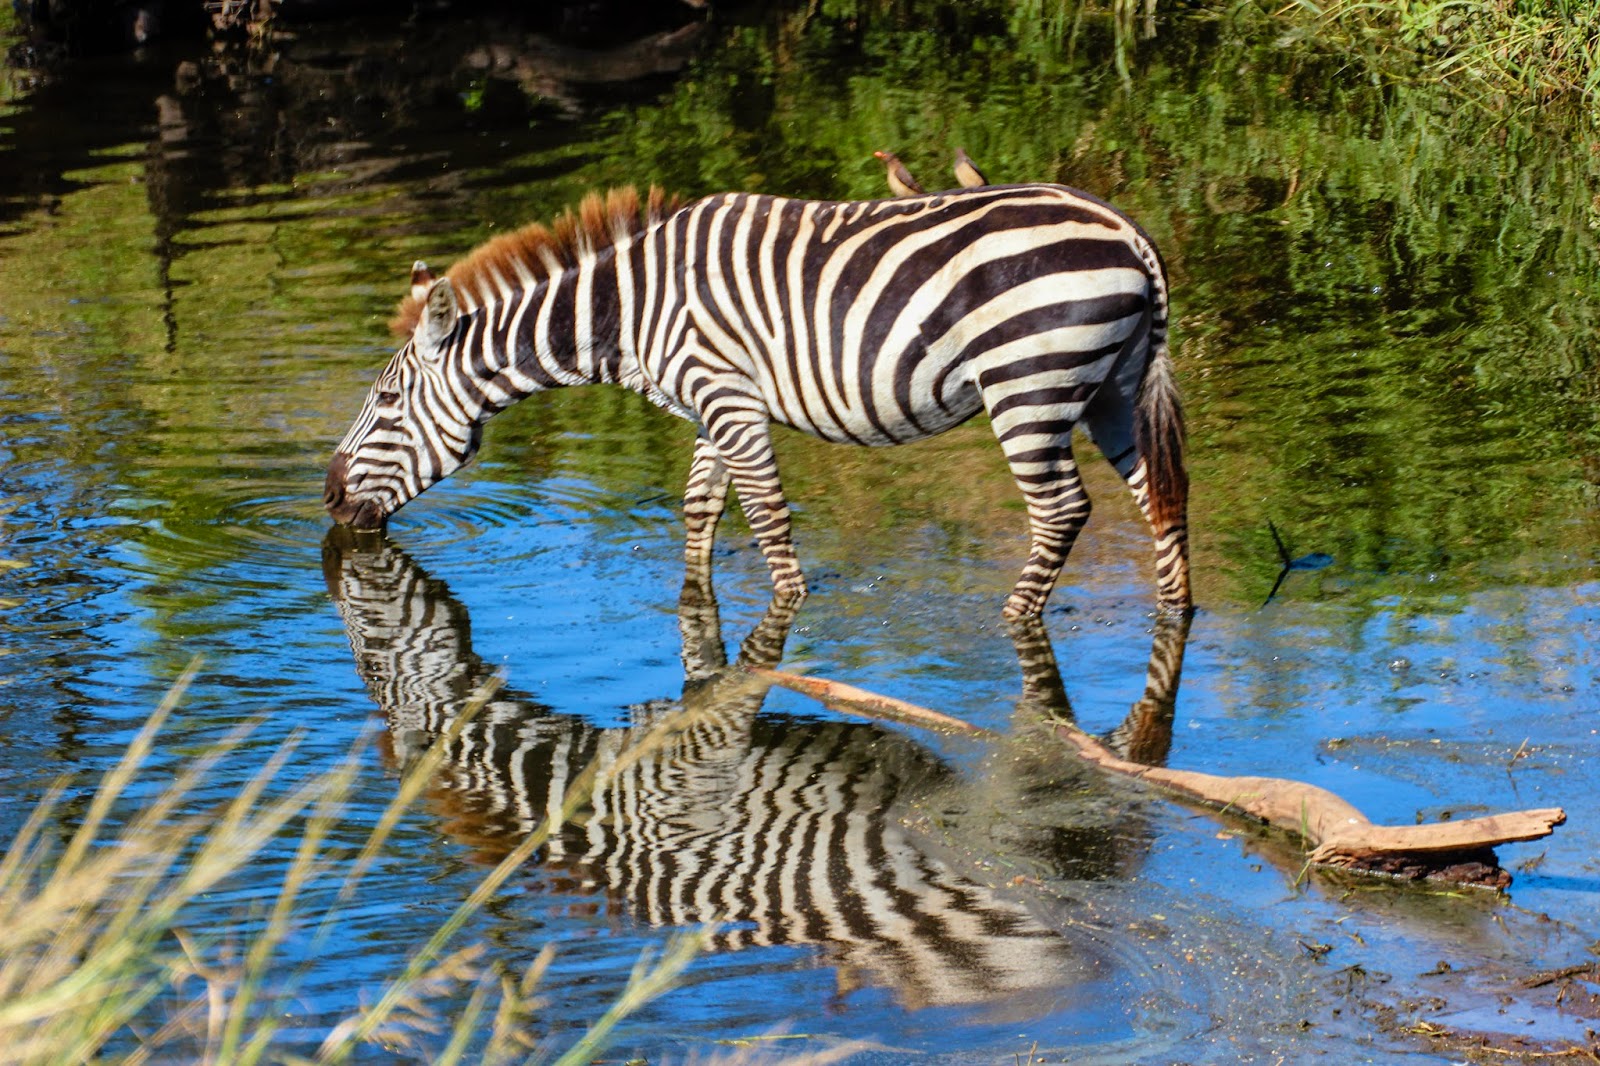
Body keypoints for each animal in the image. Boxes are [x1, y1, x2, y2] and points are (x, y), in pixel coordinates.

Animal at [324, 184, 1191, 618]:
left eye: (388, 401)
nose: (327, 498)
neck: (627, 312)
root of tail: (1128, 232)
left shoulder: (728, 400)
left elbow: (766, 515)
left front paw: (791, 609)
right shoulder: (713, 403)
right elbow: (699, 511)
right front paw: (691, 603)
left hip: (1028, 385)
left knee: (1063, 510)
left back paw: (1014, 617)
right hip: (1113, 390)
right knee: (1163, 496)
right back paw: (1175, 614)